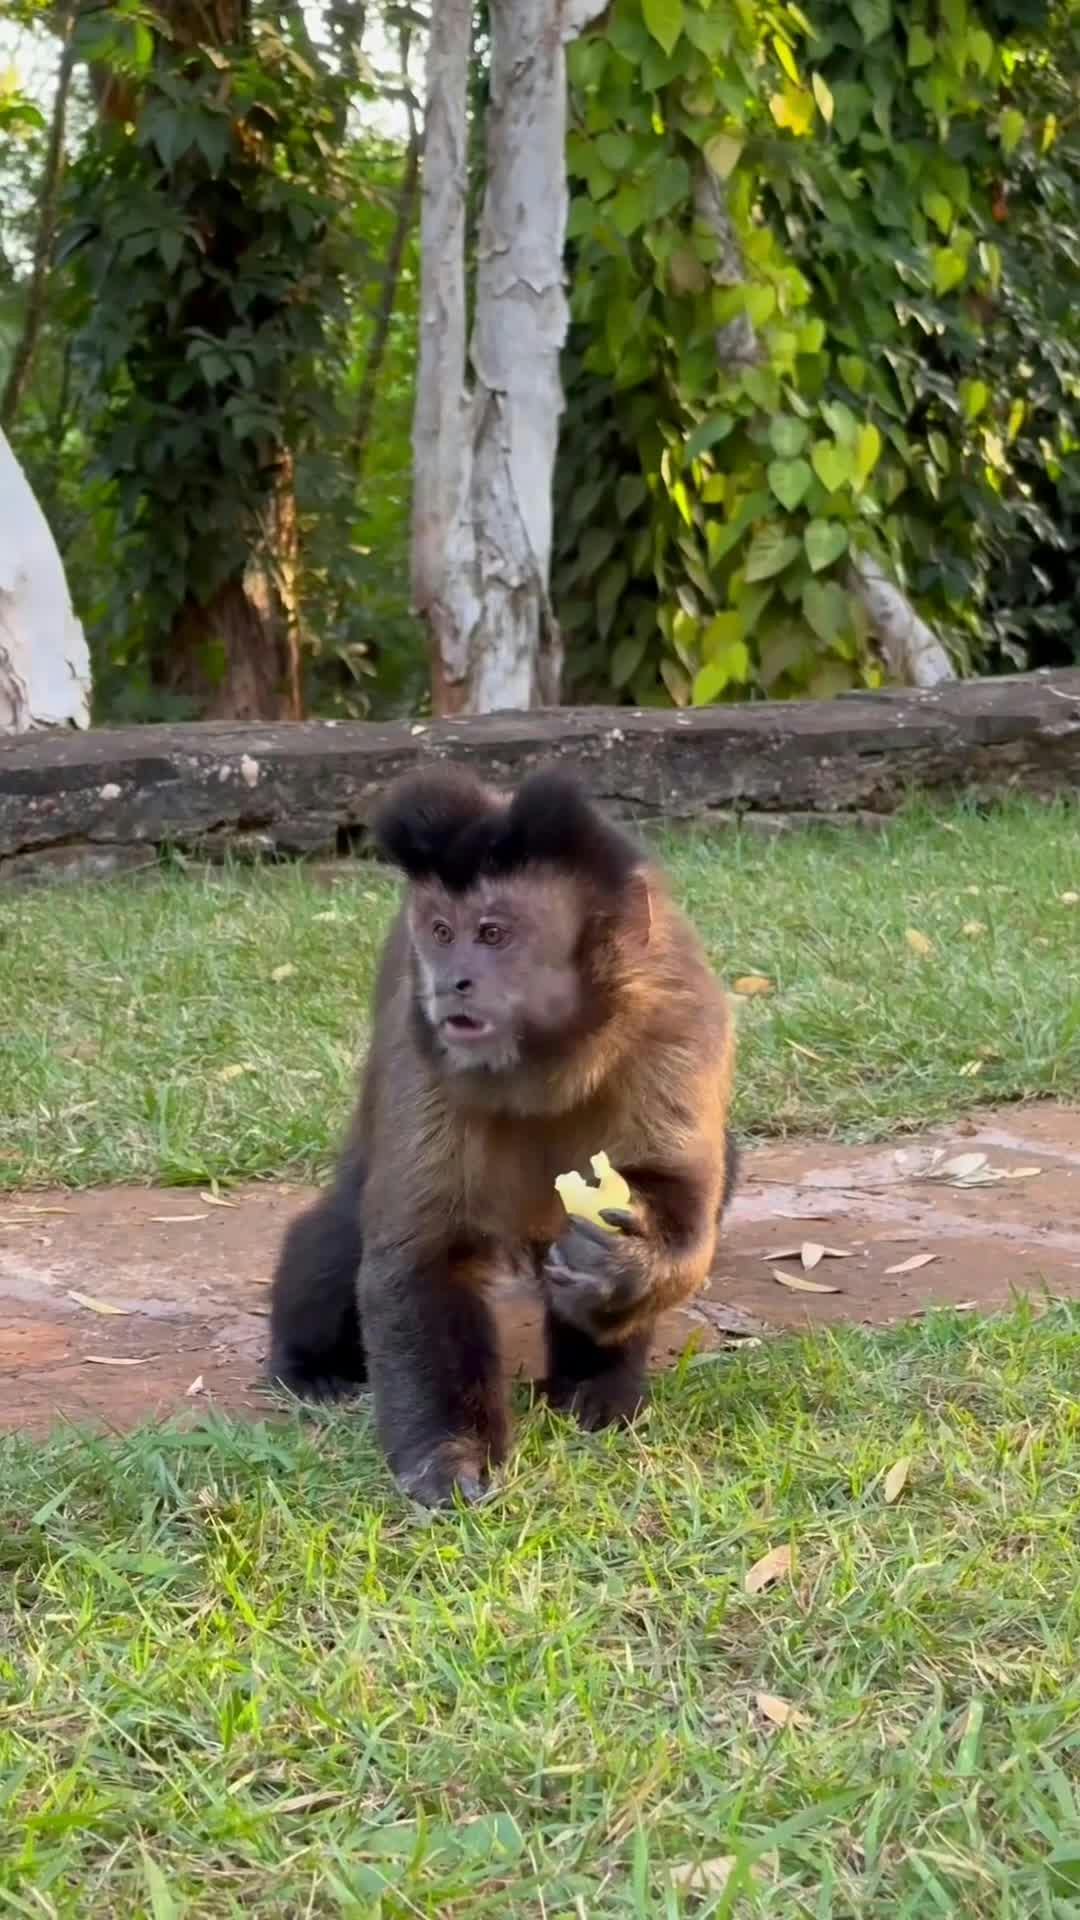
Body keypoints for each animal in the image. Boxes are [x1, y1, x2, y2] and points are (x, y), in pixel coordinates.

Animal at [269, 765, 737, 1507]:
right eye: (441, 932)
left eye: (491, 934)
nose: (451, 981)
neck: (549, 1061)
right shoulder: (424, 1051)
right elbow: (420, 1257)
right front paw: (449, 1456)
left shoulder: (677, 1021)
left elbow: (681, 1196)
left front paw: (625, 1266)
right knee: (342, 1229)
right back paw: (308, 1362)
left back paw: (596, 1387)